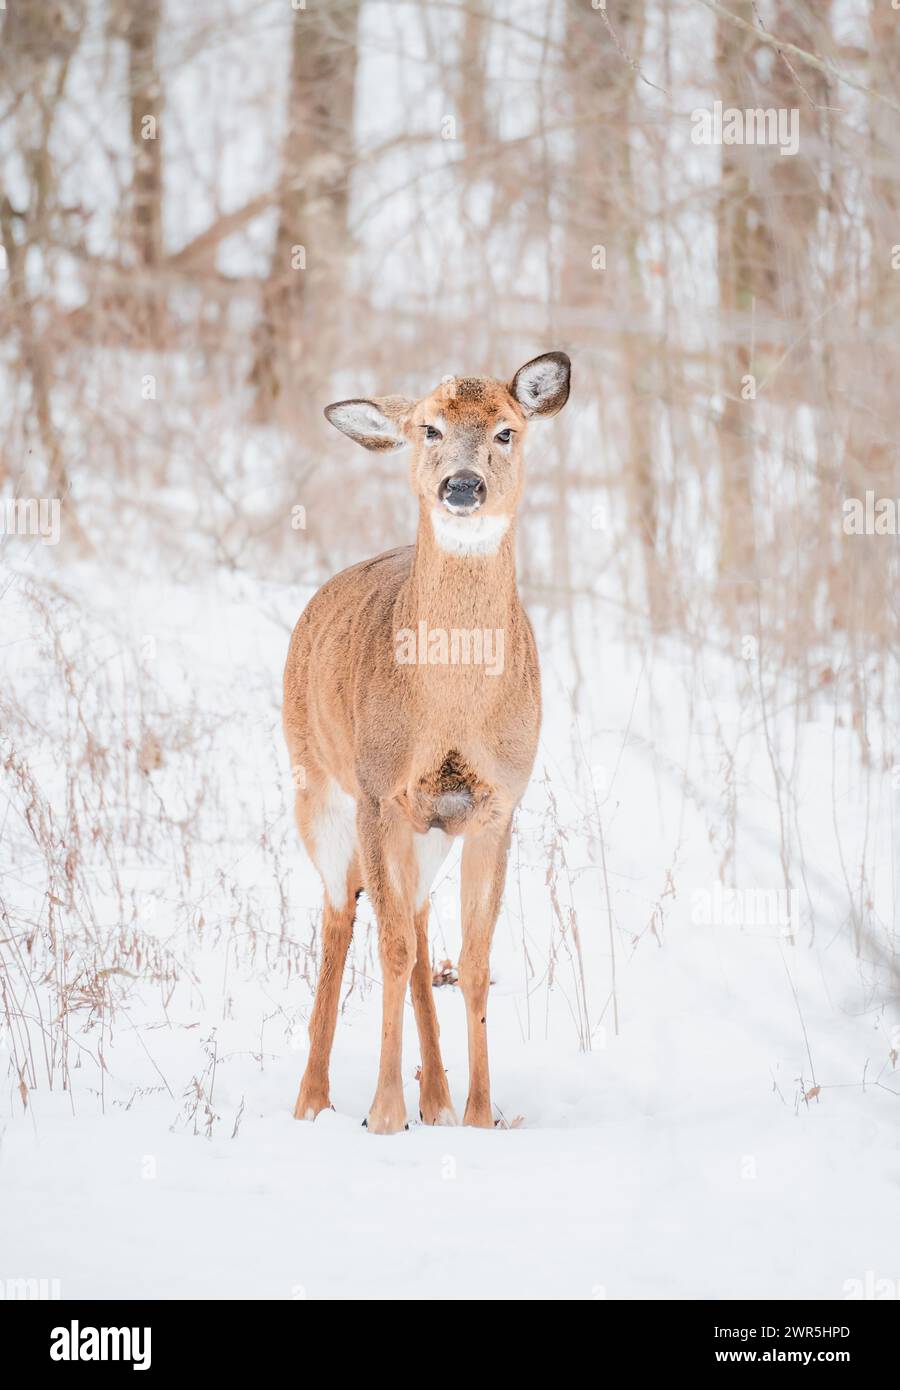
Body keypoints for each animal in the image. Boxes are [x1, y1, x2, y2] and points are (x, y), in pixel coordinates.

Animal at [283, 351, 571, 1134]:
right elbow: (388, 946)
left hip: (430, 828)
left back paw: (437, 1098)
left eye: (506, 430)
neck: (449, 705)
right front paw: (383, 1113)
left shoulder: (496, 803)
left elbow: (470, 962)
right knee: (341, 919)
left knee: (415, 927)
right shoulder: (379, 792)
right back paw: (313, 1099)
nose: (462, 485)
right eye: (429, 429)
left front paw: (477, 1114)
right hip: (316, 786)